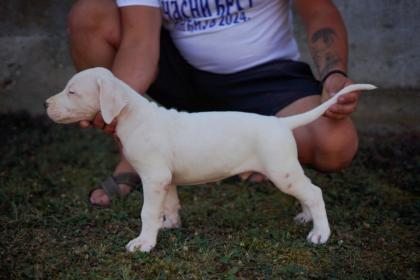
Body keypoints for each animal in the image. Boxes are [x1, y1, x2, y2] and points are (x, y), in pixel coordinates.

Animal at [46, 67, 378, 252]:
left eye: (72, 91)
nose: (47, 103)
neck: (135, 115)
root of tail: (280, 123)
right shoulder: (165, 178)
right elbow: (169, 204)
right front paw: (169, 225)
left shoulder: (153, 178)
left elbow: (147, 212)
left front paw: (144, 243)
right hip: (286, 170)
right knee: (307, 190)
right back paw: (306, 217)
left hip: (280, 170)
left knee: (315, 192)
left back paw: (320, 232)